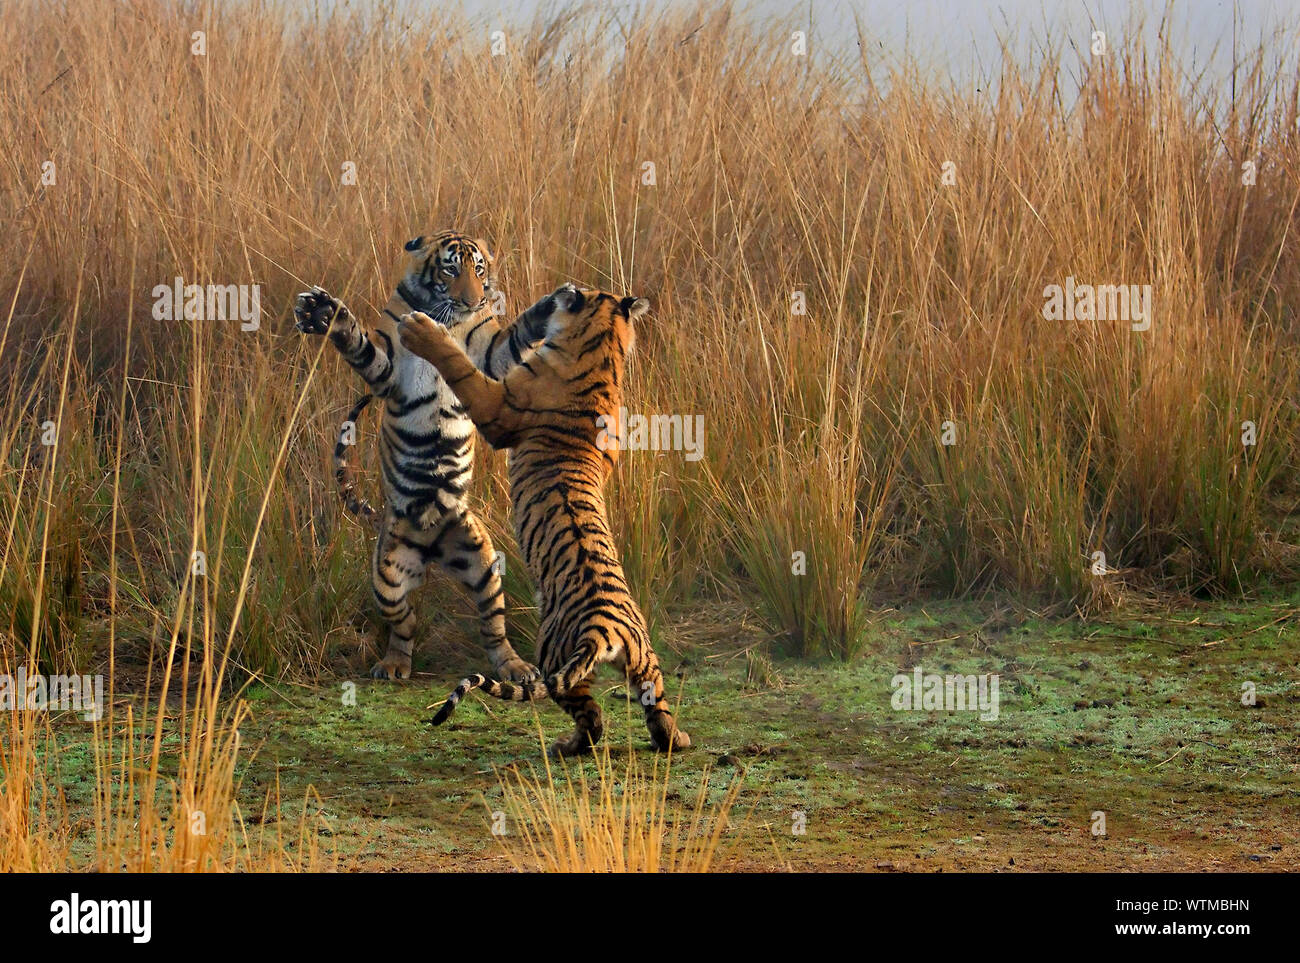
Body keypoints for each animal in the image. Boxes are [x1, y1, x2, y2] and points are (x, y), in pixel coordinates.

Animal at [293, 230, 548, 684]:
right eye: (450, 269)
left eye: (478, 269)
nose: (472, 301)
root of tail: (432, 550)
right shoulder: (388, 370)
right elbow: (362, 346)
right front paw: (326, 315)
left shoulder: (491, 357)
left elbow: (517, 338)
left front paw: (555, 306)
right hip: (386, 573)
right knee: (404, 622)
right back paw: (394, 664)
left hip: (485, 563)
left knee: (493, 626)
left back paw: (516, 667)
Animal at [397, 283, 691, 757]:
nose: (562, 290)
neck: (603, 350)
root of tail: (604, 629)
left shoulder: (498, 404)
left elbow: (461, 368)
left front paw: (422, 330)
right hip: (647, 662)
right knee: (656, 710)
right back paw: (676, 739)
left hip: (556, 657)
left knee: (590, 718)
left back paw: (565, 746)